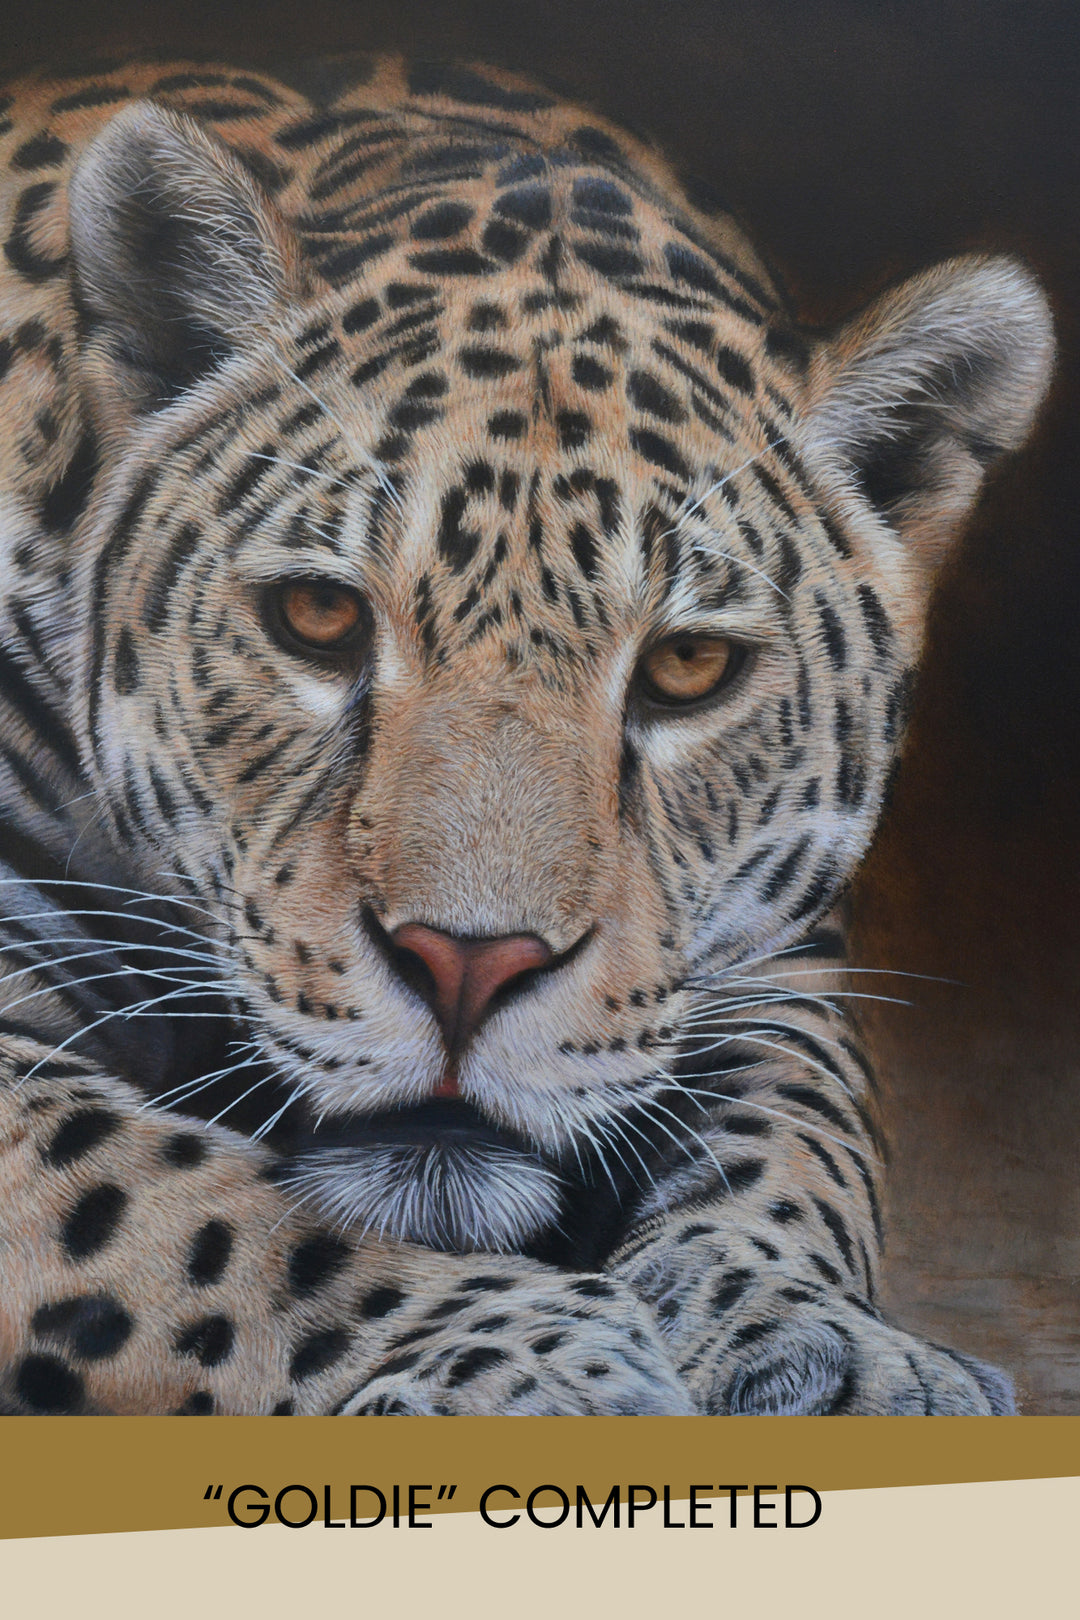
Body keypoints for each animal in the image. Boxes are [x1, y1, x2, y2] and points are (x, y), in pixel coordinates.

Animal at [0, 53, 1054, 1415]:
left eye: (688, 668)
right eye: (318, 617)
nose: (467, 968)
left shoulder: (779, 956)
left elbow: (796, 1149)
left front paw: (834, 1351)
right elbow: (182, 1215)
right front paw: (539, 1371)